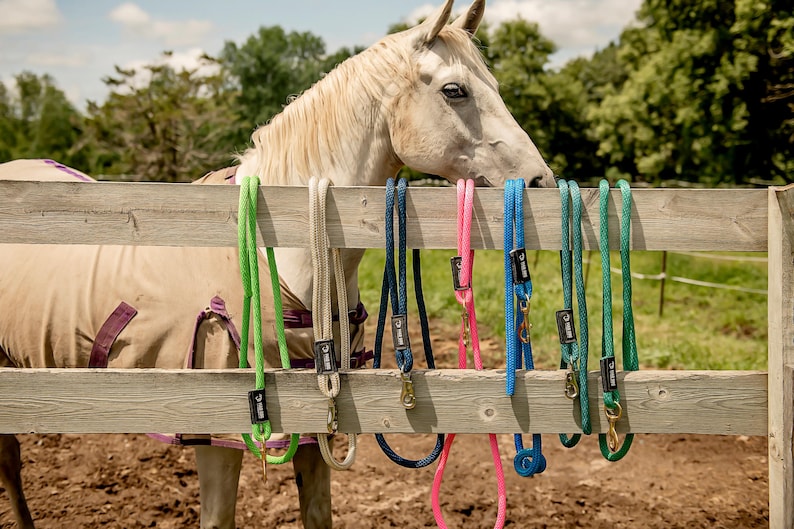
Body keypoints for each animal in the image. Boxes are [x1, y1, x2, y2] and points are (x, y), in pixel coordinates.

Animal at [0, 1, 556, 528]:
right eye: (455, 90)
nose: (540, 183)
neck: (289, 260)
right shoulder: (217, 428)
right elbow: (218, 518)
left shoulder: (317, 419)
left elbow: (317, 513)